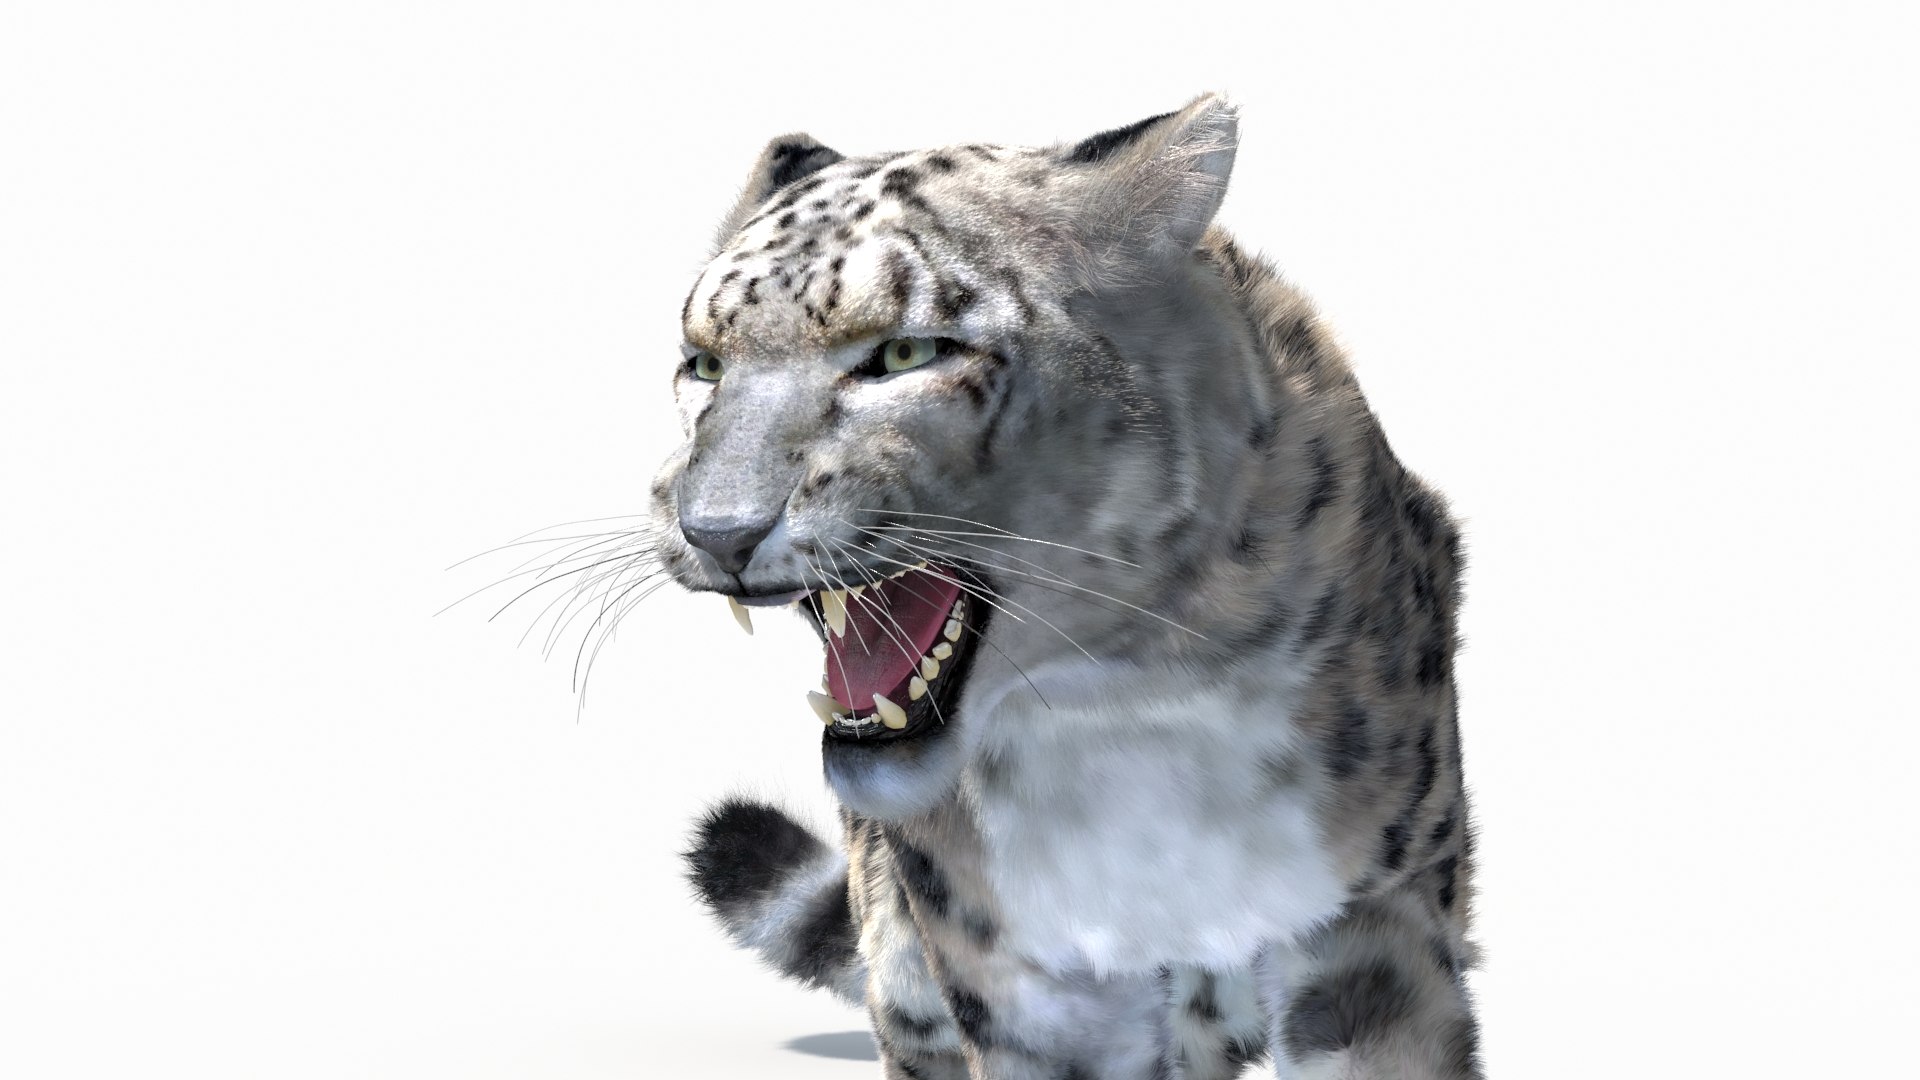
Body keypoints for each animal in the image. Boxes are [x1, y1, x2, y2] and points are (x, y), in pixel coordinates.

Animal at [655, 94, 1485, 1079]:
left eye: (906, 353)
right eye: (704, 363)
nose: (718, 531)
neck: (1119, 717)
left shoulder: (1375, 917)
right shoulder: (1022, 981)